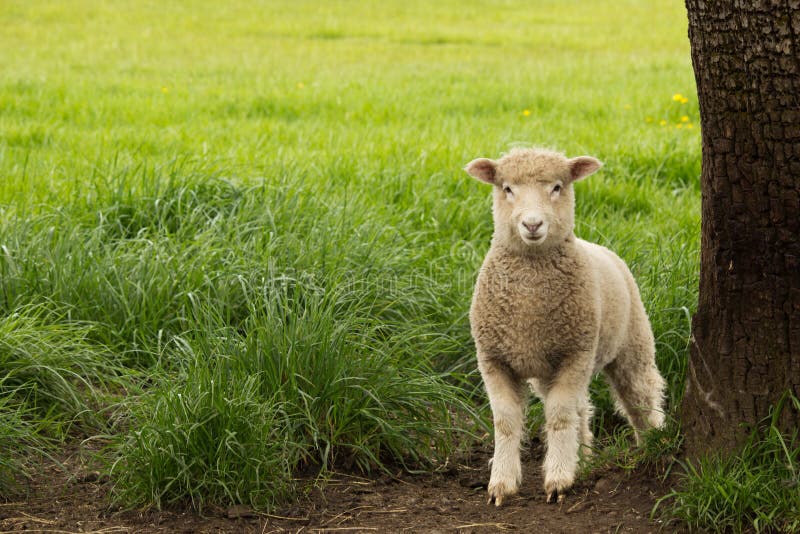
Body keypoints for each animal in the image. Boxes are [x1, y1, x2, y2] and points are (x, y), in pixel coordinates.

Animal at [465, 147, 666, 506]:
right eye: (507, 188)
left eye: (557, 187)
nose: (532, 224)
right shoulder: (493, 359)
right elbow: (506, 422)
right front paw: (501, 482)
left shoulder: (575, 354)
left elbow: (558, 416)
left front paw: (558, 478)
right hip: (555, 367)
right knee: (582, 410)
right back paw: (582, 458)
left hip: (631, 346)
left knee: (640, 395)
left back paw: (652, 444)